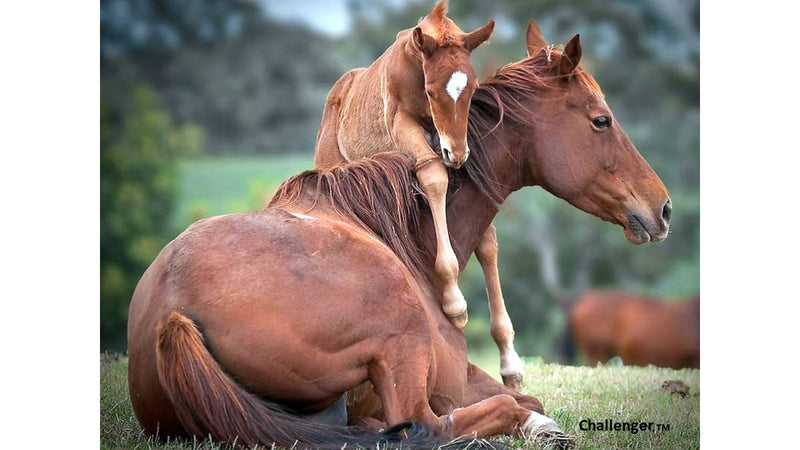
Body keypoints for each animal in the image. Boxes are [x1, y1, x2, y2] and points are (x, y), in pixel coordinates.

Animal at [314, 0, 495, 330]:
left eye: (473, 89)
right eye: (431, 91)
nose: (457, 153)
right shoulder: (401, 123)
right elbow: (433, 175)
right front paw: (455, 303)